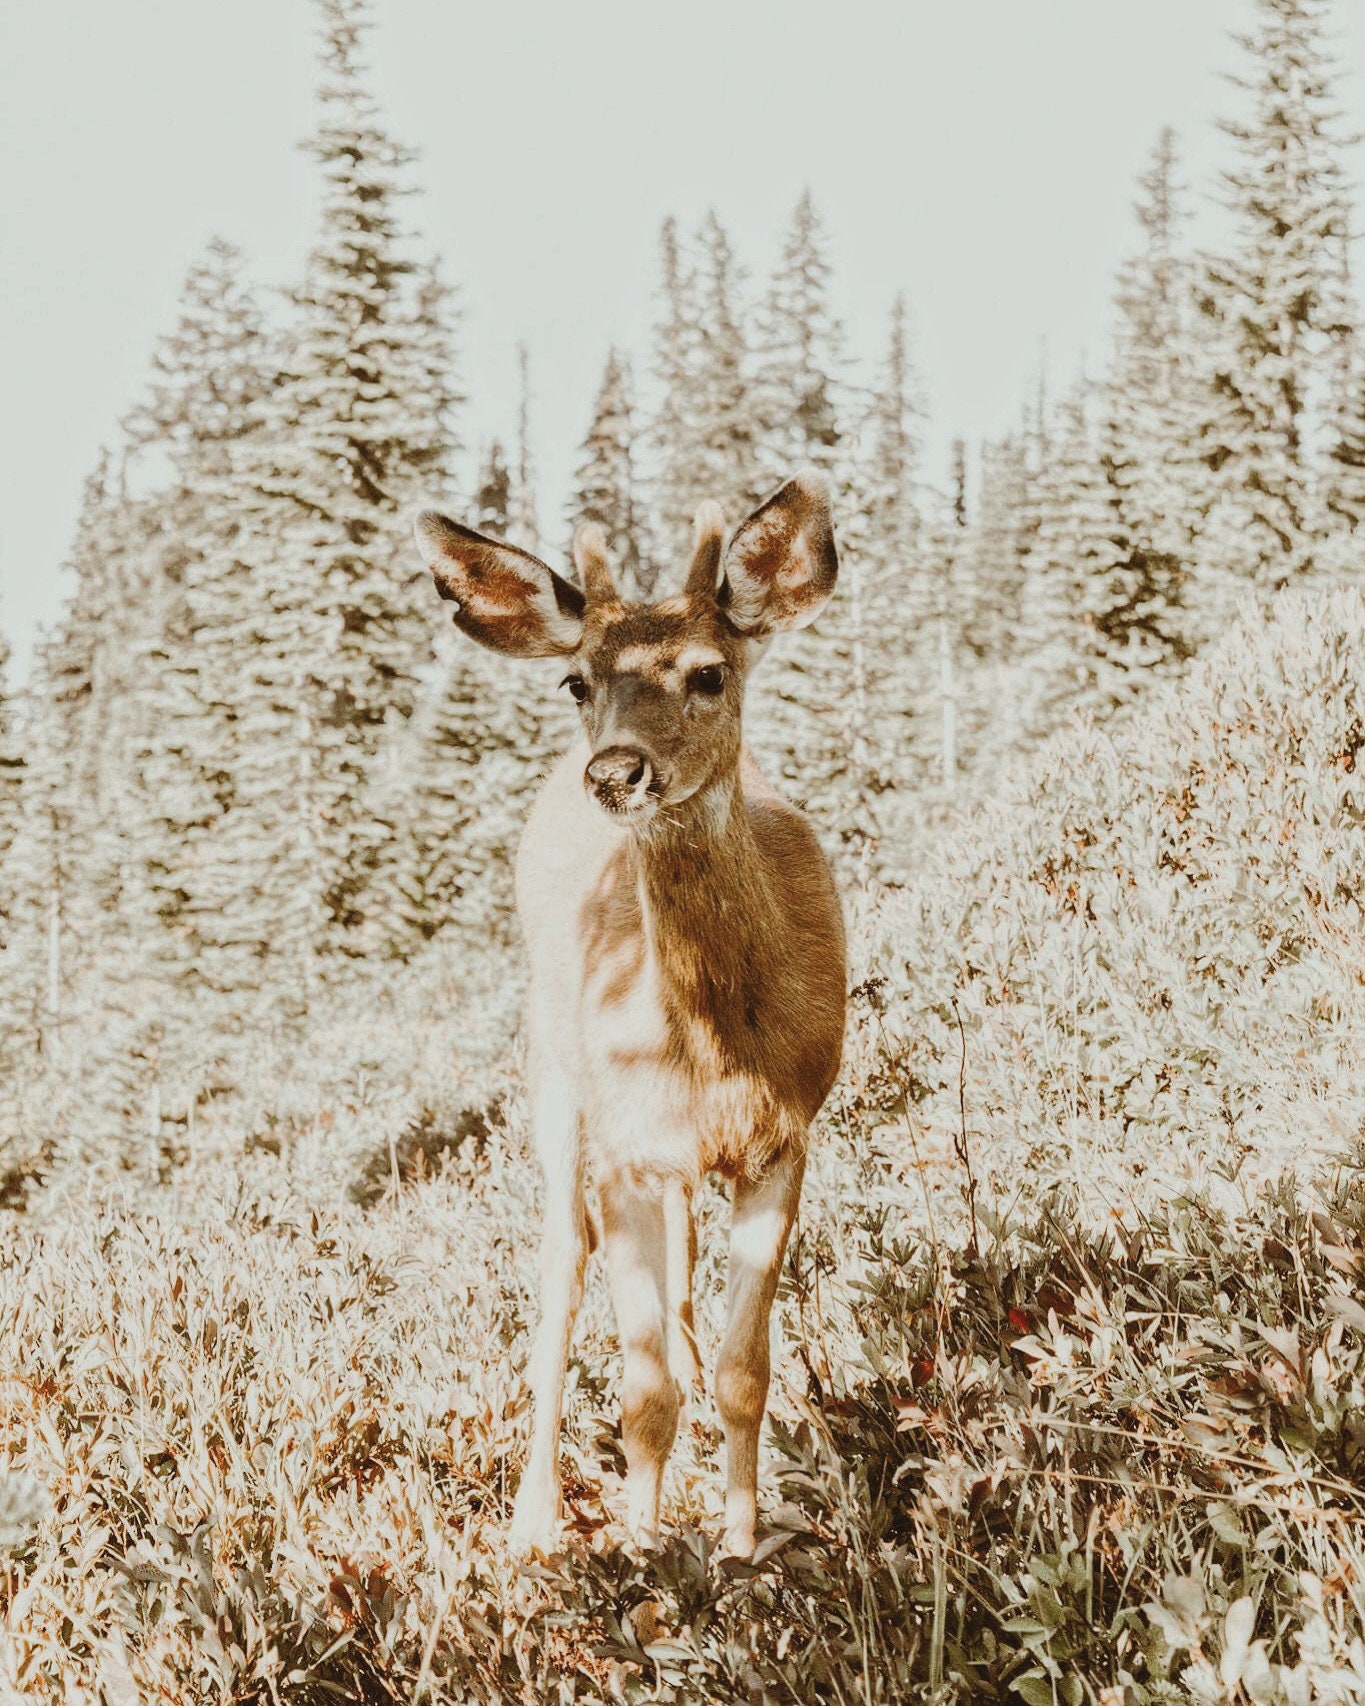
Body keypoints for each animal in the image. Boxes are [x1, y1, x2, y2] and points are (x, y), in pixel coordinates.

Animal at [412, 471, 847, 1560]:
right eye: (577, 682)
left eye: (707, 672)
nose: (614, 772)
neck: (716, 1043)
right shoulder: (620, 1153)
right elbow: (640, 1391)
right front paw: (645, 1553)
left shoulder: (787, 1135)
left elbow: (743, 1373)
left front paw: (740, 1548)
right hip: (555, 1082)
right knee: (561, 1269)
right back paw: (534, 1519)